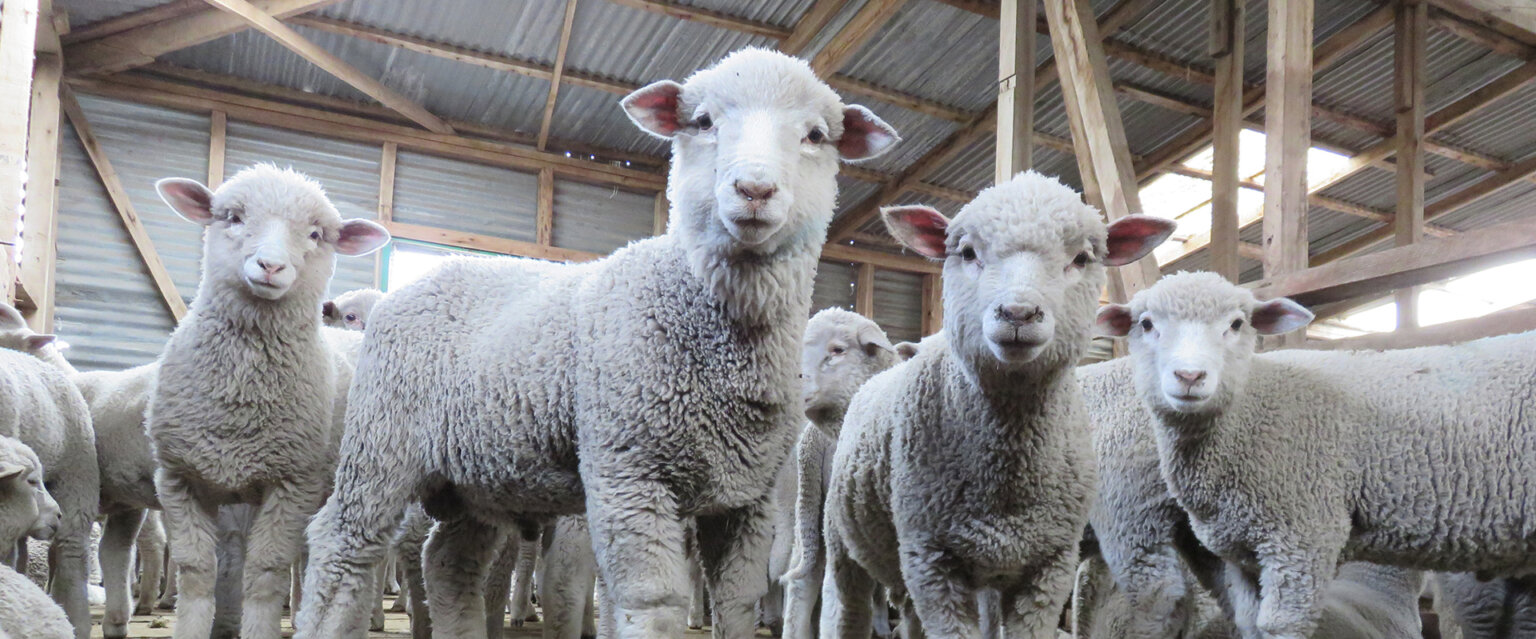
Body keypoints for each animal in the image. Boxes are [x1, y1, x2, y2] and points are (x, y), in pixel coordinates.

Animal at [148, 164, 390, 639]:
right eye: (233, 217)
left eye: (315, 234)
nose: (271, 265)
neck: (240, 397)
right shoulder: (180, 477)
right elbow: (198, 572)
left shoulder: (291, 483)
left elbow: (263, 574)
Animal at [819, 172, 1175, 638]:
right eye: (968, 252)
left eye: (1081, 258)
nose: (1018, 313)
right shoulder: (932, 561)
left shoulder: (1049, 565)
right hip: (845, 543)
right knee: (847, 606)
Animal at [1095, 271, 1536, 639]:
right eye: (1146, 324)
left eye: (1237, 324)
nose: (1189, 376)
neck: (1247, 416)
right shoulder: (1243, 552)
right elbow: (1250, 623)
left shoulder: (1303, 534)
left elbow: (1280, 627)